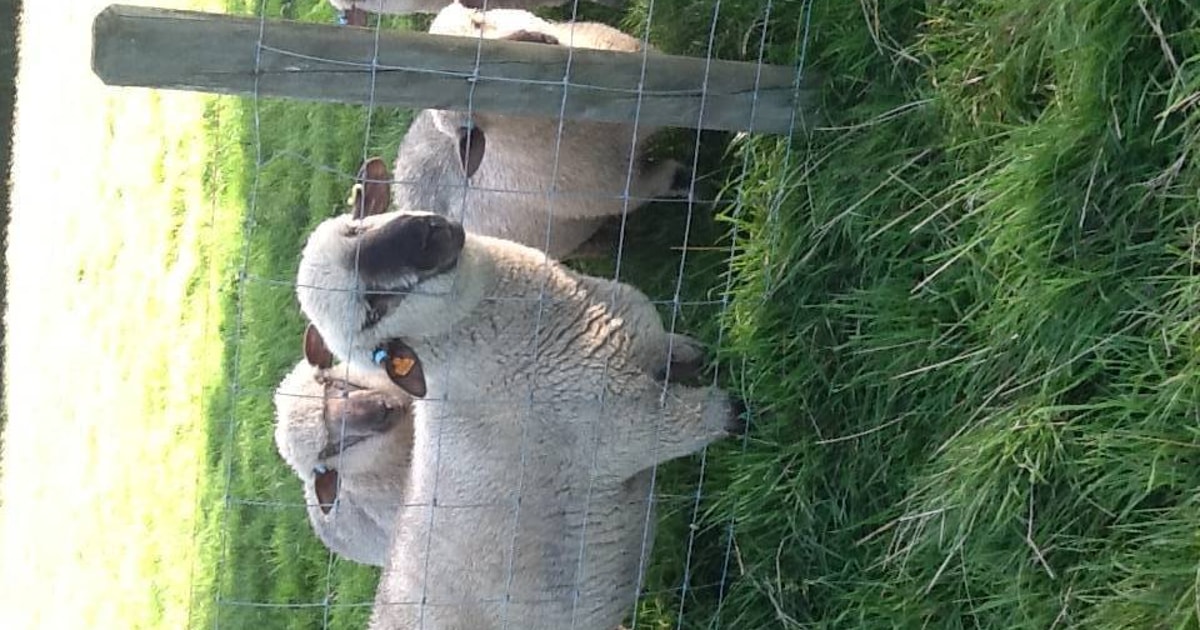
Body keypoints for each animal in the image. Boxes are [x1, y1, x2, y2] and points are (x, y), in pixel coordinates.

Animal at [294, 208, 743, 628]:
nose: (426, 234)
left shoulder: (653, 349)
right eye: (373, 309)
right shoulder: (635, 425)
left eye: (355, 228)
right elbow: (719, 413)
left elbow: (687, 356)